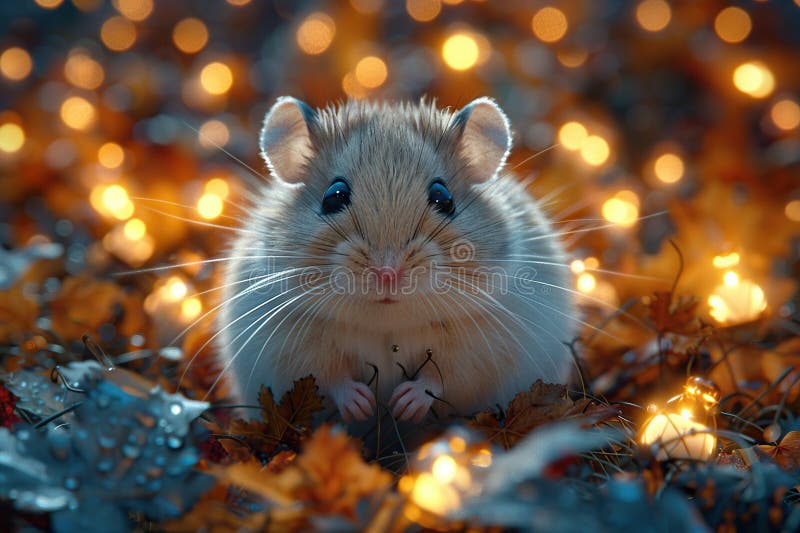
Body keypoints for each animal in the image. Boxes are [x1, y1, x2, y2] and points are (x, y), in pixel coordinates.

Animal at [216, 96, 577, 422]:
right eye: (333, 196)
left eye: (443, 198)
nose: (387, 273)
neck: (387, 324)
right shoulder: (294, 346)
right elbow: (331, 378)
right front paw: (362, 406)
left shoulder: (483, 348)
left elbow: (442, 379)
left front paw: (404, 404)